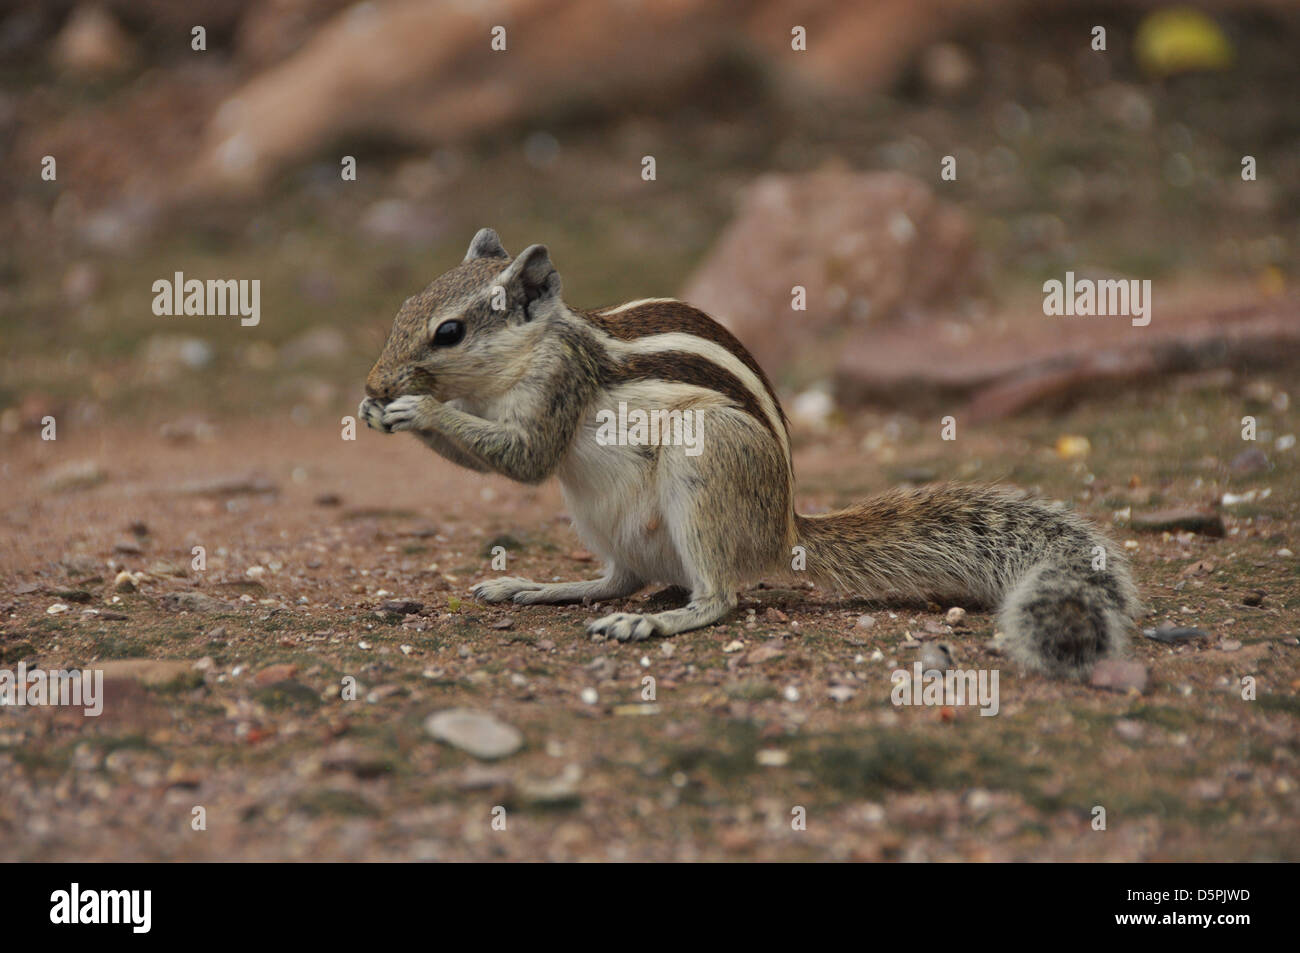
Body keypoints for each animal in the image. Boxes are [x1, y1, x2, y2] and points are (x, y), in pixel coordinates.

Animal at [360, 228, 1139, 678]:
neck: (529, 349)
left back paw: (656, 619)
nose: (373, 384)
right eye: (402, 309)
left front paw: (419, 408)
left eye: (449, 332)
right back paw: (541, 586)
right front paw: (377, 411)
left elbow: (525, 458)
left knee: (717, 596)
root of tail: (784, 531)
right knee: (615, 578)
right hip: (595, 515)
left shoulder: (558, 386)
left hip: (704, 466)